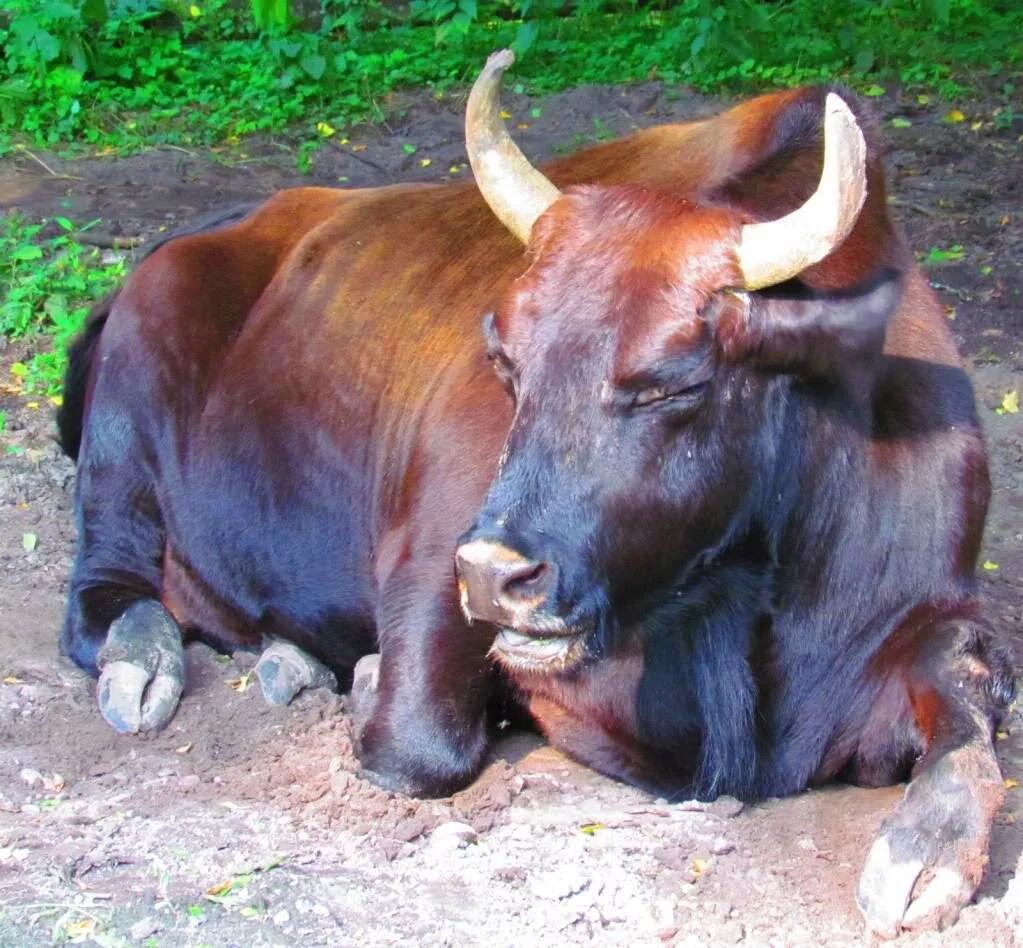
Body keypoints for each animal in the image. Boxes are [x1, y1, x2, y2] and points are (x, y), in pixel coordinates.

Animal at [57, 50, 1012, 937]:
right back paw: (146, 663)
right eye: (504, 363)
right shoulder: (432, 562)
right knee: (104, 587)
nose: (495, 575)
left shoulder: (923, 613)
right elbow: (416, 742)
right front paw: (369, 679)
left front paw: (925, 855)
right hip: (125, 426)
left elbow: (971, 698)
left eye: (671, 382)